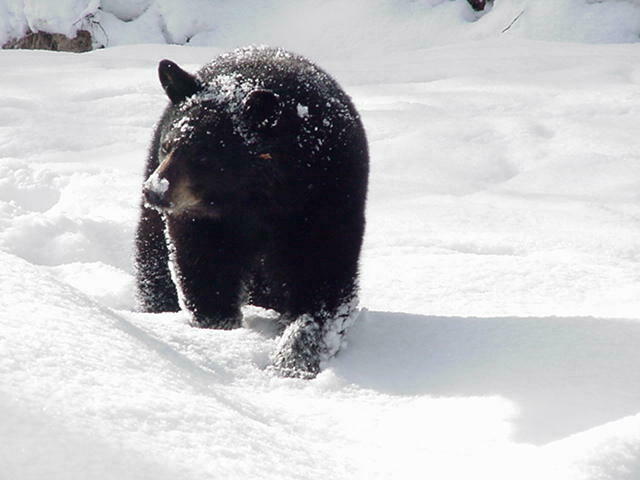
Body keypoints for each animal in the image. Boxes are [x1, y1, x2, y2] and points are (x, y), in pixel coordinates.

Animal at [134, 46, 369, 378]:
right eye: (168, 146)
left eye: (204, 156)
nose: (154, 190)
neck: (253, 197)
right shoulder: (203, 218)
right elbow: (205, 268)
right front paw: (219, 329)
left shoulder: (324, 197)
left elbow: (323, 277)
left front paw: (294, 358)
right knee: (154, 257)